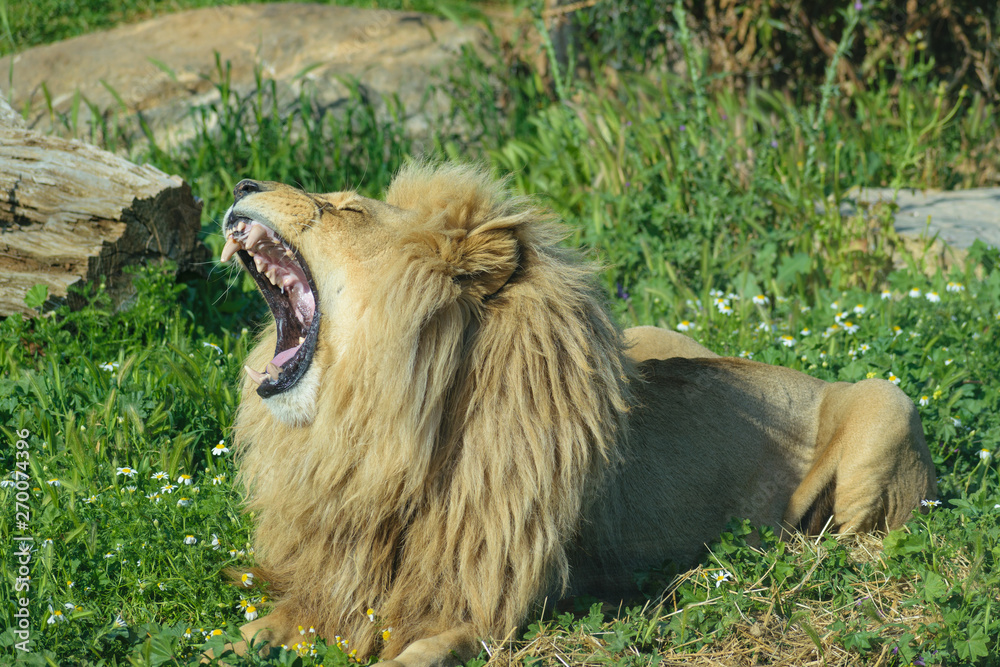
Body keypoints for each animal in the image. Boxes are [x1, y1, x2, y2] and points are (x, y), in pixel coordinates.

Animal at [220, 163, 937, 666]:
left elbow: (418, 650)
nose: (244, 181)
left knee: (862, 542)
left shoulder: (488, 604)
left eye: (345, 208)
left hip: (887, 404)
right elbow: (266, 623)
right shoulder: (341, 575)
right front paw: (231, 640)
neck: (382, 434)